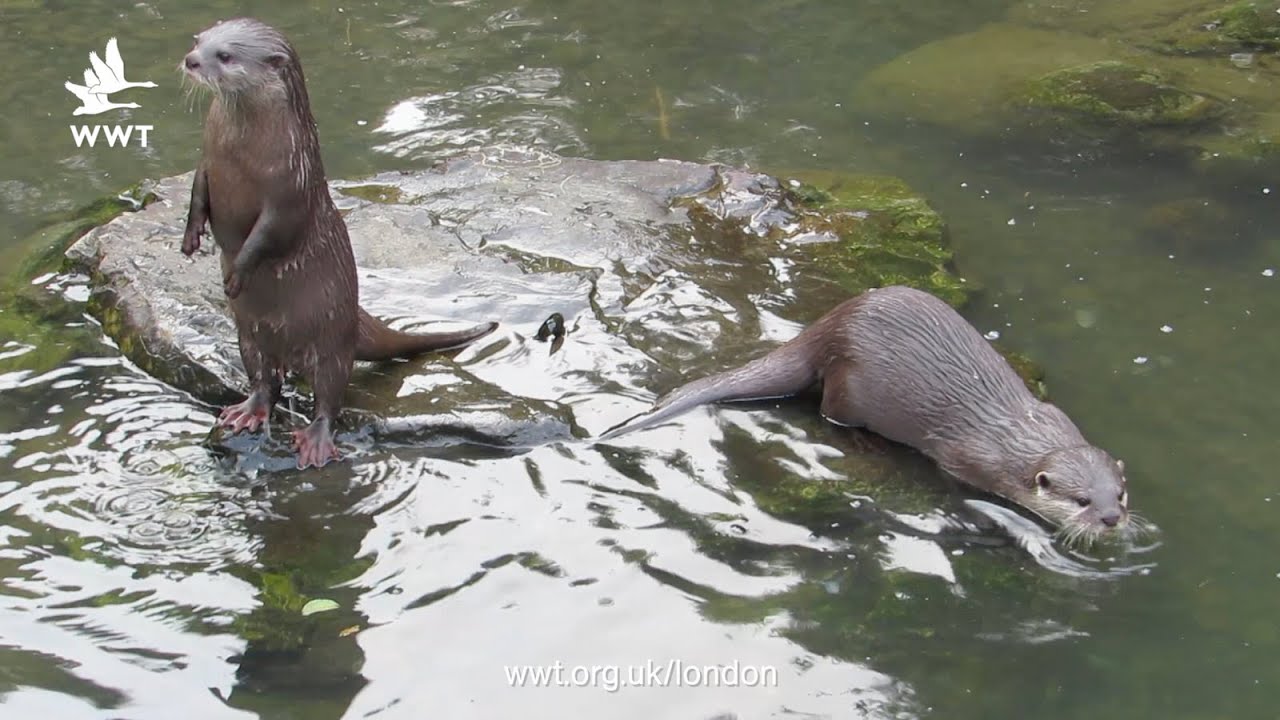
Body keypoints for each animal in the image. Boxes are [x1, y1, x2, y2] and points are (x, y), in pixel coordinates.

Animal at [180, 18, 498, 469]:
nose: (191, 60)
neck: (239, 153)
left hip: (331, 340)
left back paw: (315, 439)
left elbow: (269, 234)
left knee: (330, 395)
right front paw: (190, 238)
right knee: (264, 382)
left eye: (225, 56)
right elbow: (196, 193)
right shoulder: (207, 161)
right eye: (198, 40)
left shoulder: (291, 189)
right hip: (250, 336)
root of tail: (355, 317)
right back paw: (247, 412)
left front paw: (237, 273)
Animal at [602, 285, 1132, 542]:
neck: (1023, 439)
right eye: (1082, 500)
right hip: (849, 388)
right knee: (827, 410)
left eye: (1120, 494)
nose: (1110, 519)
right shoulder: (966, 461)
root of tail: (828, 329)